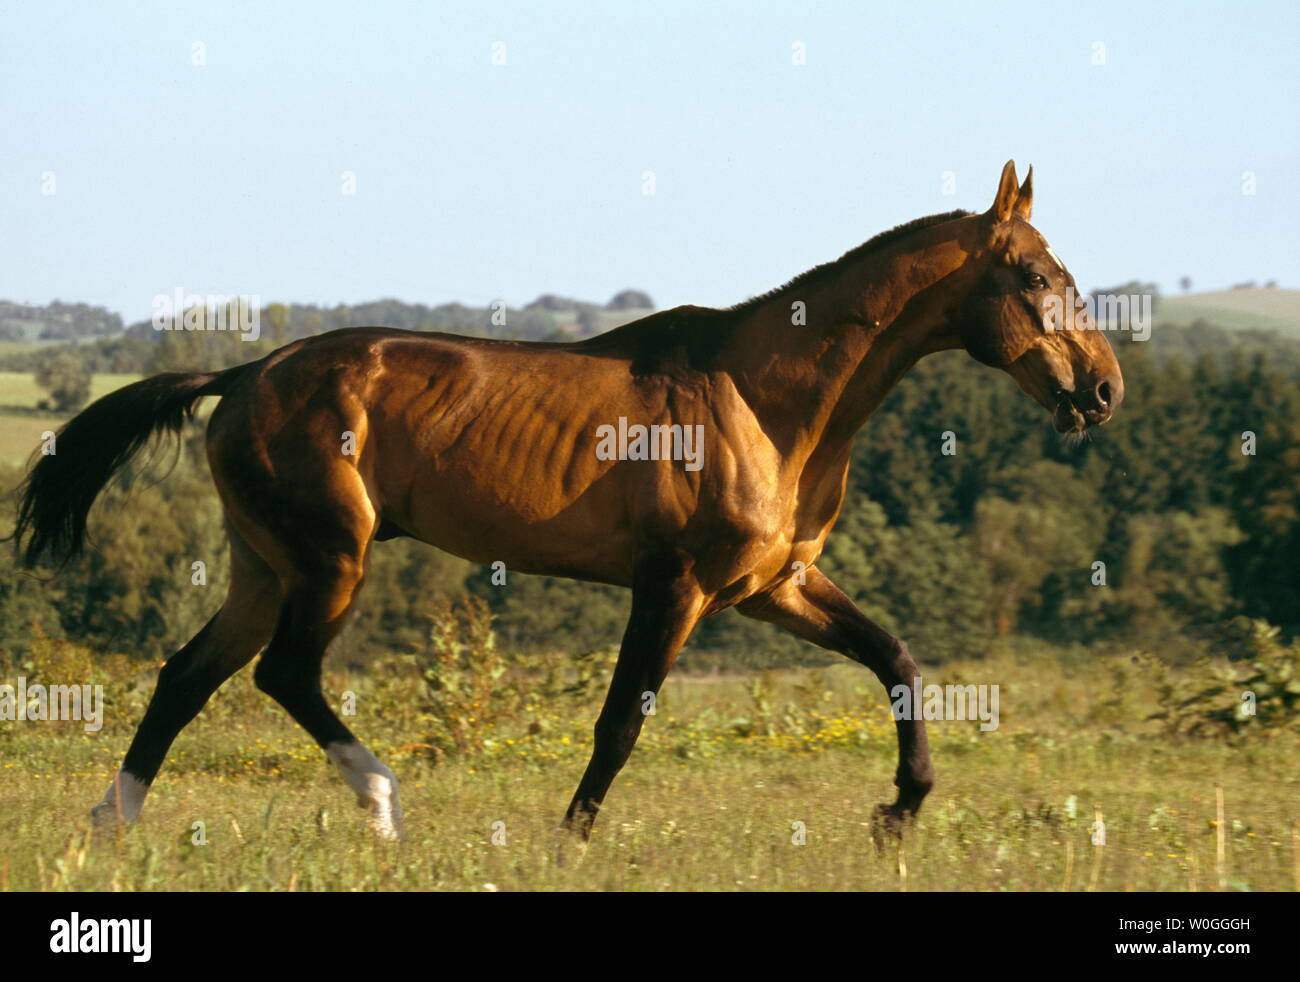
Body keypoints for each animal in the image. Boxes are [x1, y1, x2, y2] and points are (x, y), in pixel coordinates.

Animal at [13, 161, 1123, 845]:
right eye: (1033, 275)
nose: (1104, 388)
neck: (767, 402)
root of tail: (247, 372)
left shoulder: (775, 585)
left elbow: (896, 659)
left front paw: (901, 810)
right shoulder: (674, 585)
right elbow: (620, 722)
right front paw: (567, 839)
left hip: (264, 563)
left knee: (186, 675)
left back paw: (113, 825)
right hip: (331, 557)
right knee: (281, 672)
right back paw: (382, 804)